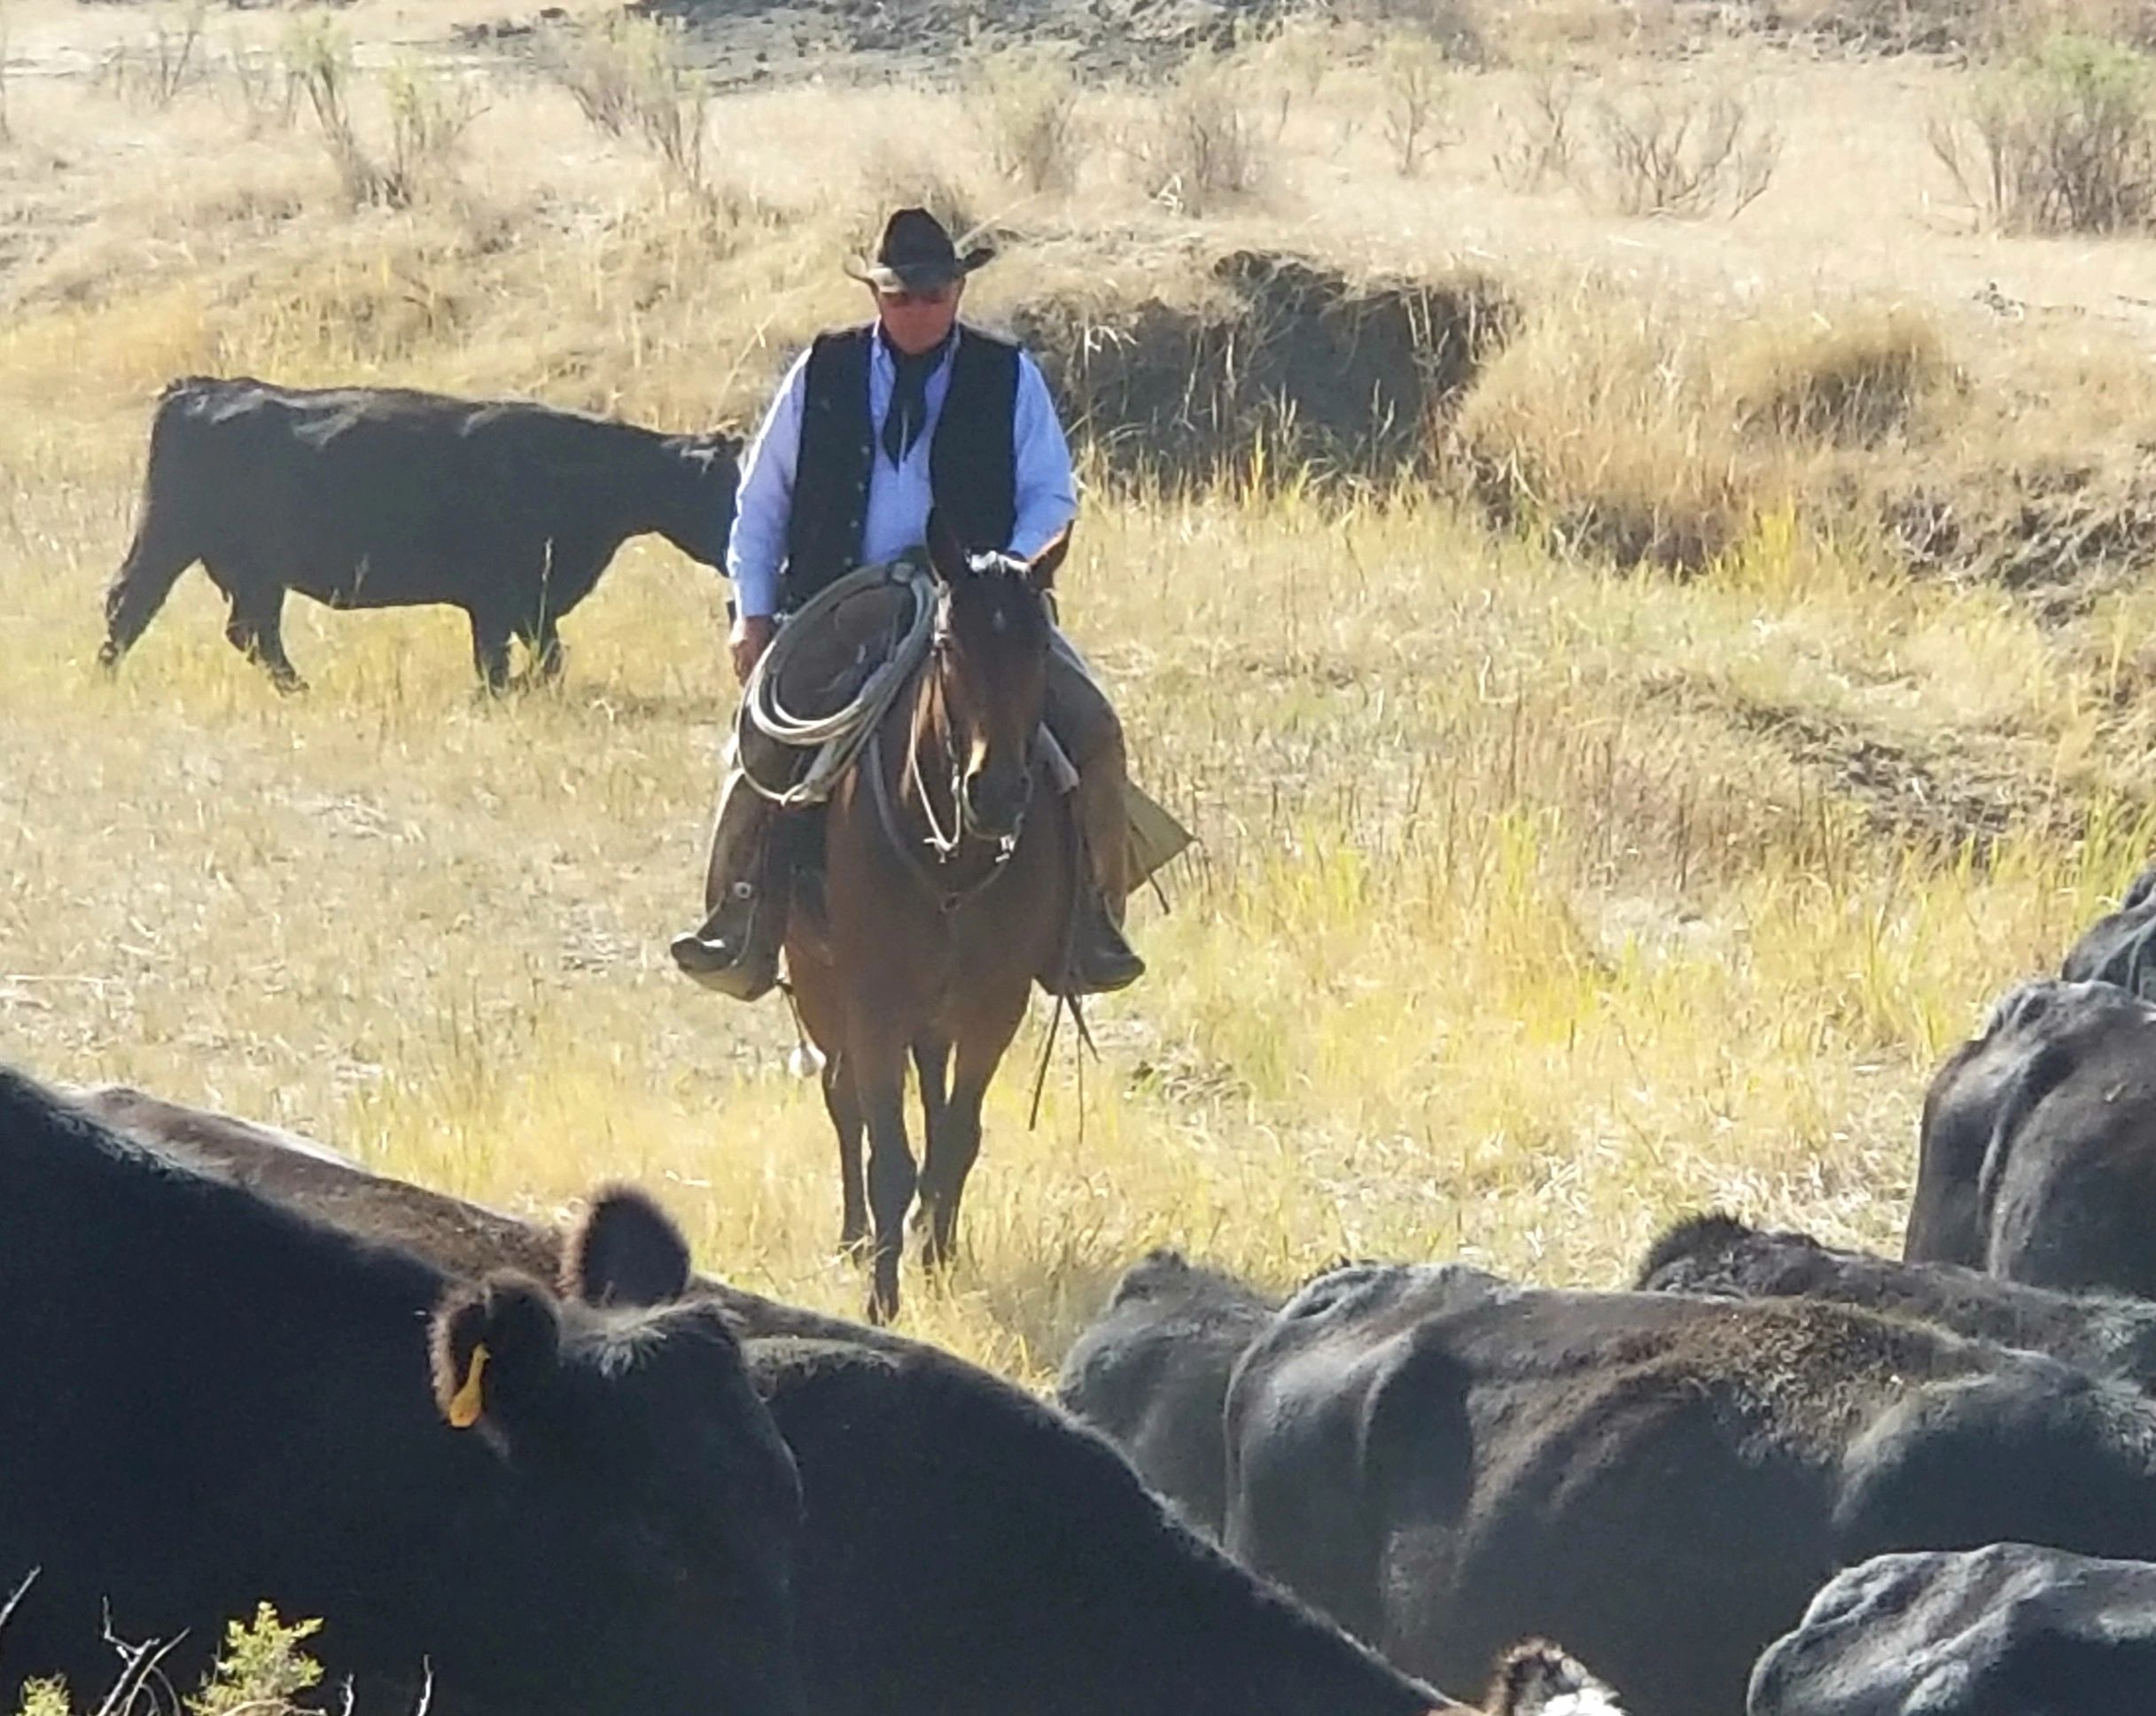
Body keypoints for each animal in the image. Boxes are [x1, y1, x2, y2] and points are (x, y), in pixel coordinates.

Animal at [95, 377, 740, 693]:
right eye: (725, 488)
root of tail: (201, 387)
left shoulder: (533, 604)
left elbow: (550, 658)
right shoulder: (497, 601)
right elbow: (500, 662)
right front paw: (503, 692)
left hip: (249, 571)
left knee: (251, 632)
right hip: (174, 540)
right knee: (132, 605)